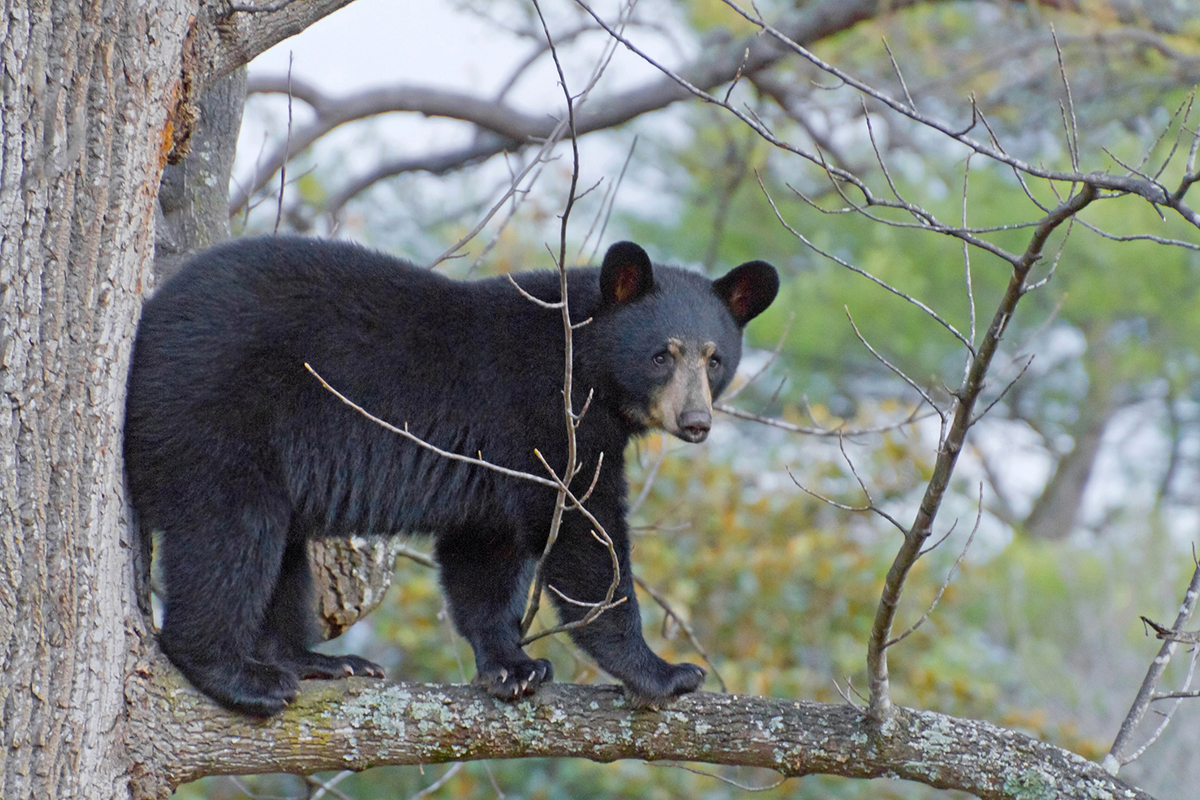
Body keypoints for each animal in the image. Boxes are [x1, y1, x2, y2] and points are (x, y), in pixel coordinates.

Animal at [124, 236, 778, 717]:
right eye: (662, 354)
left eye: (715, 358)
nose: (696, 422)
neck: (583, 359)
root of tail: (151, 319)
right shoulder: (544, 420)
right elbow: (582, 536)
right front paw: (663, 671)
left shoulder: (491, 470)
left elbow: (485, 555)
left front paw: (513, 667)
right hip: (213, 410)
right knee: (229, 535)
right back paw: (240, 675)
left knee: (278, 550)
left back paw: (317, 661)